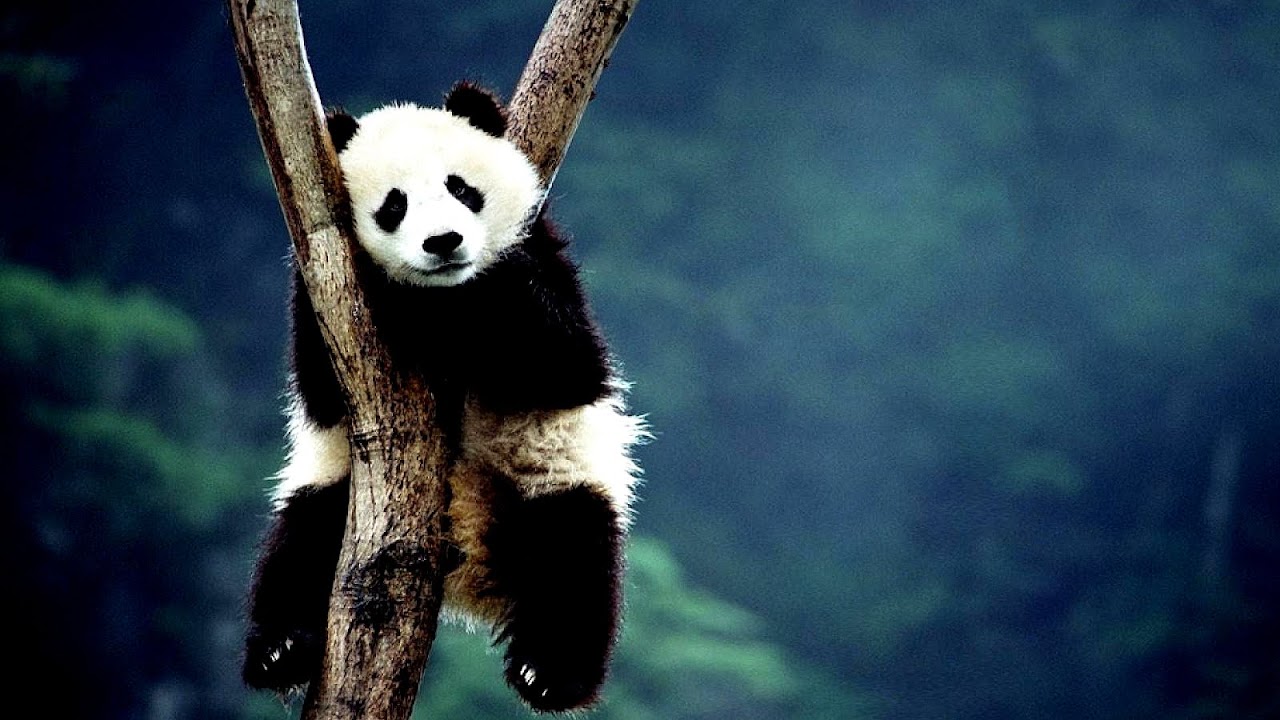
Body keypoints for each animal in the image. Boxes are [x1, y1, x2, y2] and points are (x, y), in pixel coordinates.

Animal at [242, 81, 645, 714]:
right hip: (337, 493)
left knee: (574, 563)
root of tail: (473, 570)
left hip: (553, 478)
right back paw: (280, 650)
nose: (444, 242)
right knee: (299, 547)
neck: (443, 300)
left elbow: (564, 360)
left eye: (461, 188)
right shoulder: (327, 294)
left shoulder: (547, 261)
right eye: (393, 206)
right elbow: (321, 390)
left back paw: (548, 674)